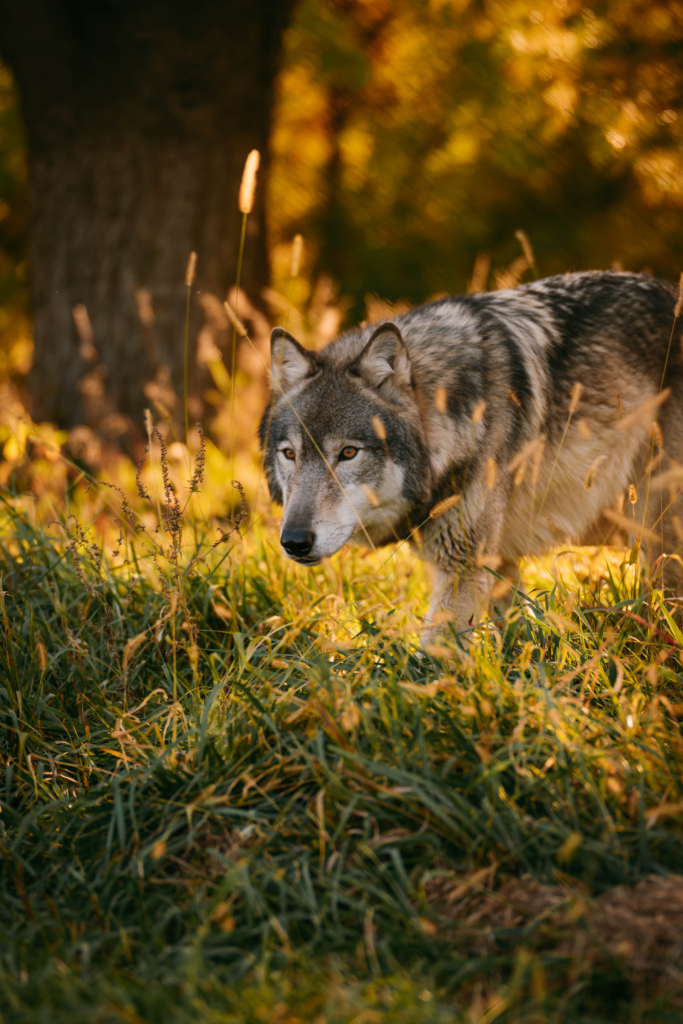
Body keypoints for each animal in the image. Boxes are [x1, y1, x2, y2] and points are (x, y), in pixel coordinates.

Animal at [260, 271, 683, 637]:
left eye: (348, 452)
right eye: (290, 454)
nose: (294, 541)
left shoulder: (461, 566)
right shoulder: (496, 564)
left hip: (658, 534)